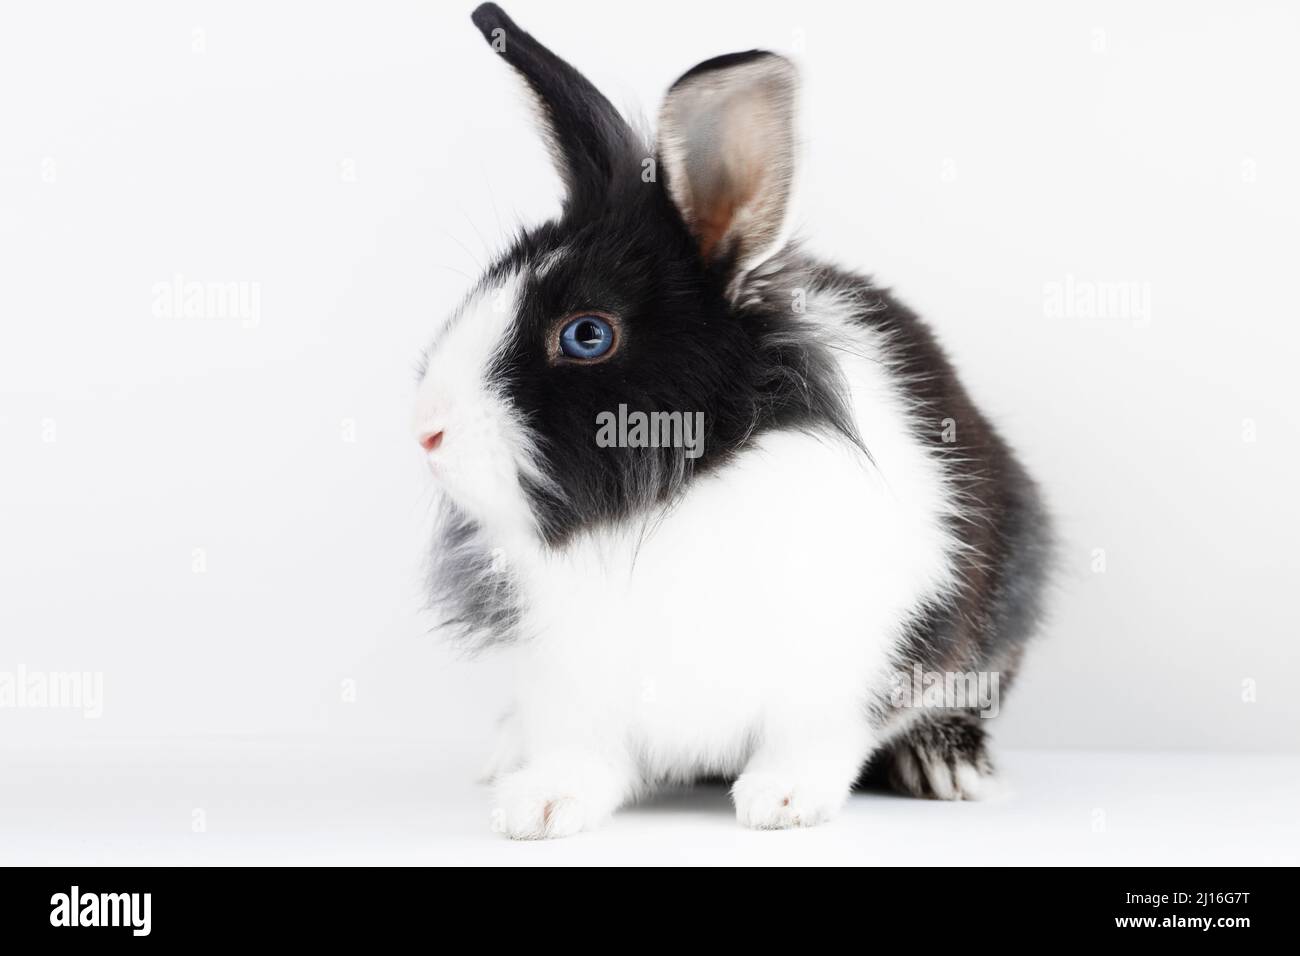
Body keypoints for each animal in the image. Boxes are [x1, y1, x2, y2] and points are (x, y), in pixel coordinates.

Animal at [413, 3, 1053, 839]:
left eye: (586, 335)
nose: (426, 428)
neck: (673, 505)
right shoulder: (571, 678)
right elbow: (582, 752)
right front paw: (540, 807)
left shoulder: (851, 661)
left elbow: (815, 739)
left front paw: (783, 802)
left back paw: (945, 764)